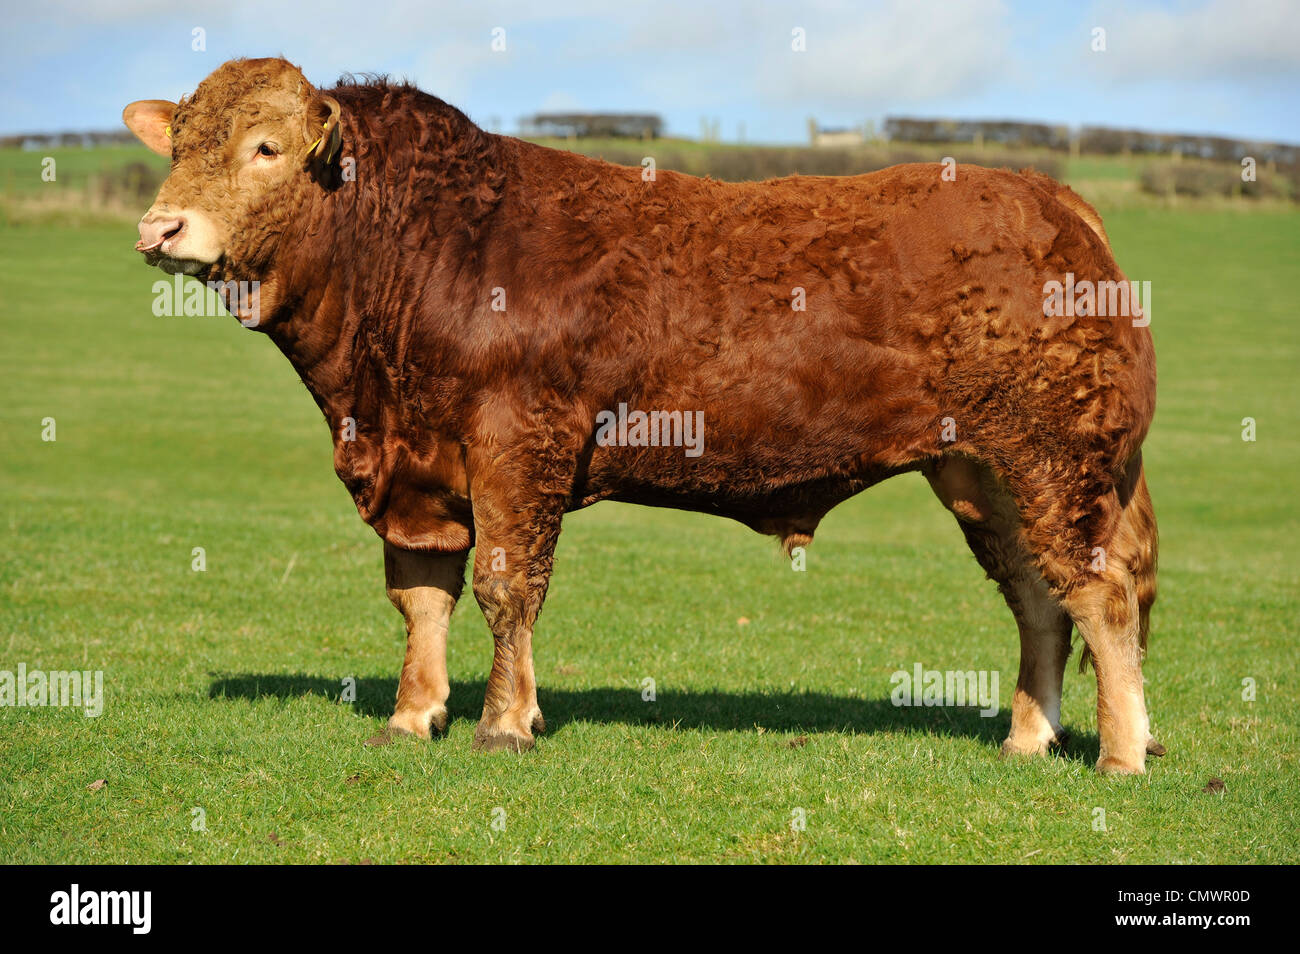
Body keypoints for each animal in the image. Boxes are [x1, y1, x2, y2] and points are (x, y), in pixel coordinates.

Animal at [123, 57, 1161, 773]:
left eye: (264, 148)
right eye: (178, 148)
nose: (159, 228)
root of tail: (1049, 194)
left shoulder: (518, 447)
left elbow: (506, 587)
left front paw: (505, 723)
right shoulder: (414, 471)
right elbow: (421, 591)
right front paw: (414, 714)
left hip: (1054, 458)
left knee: (1100, 593)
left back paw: (1120, 753)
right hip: (984, 471)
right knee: (1039, 596)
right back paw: (1028, 738)